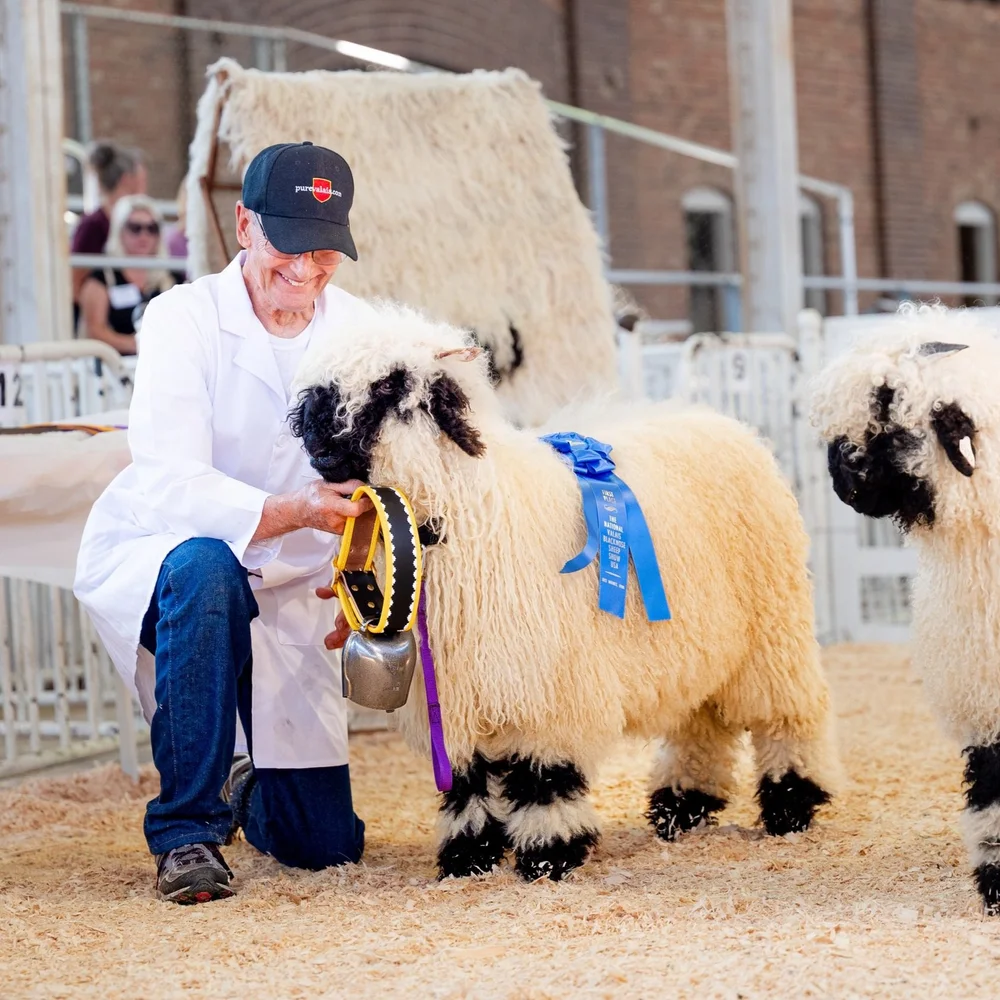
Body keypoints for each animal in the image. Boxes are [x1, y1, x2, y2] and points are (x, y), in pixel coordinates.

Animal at [290, 302, 840, 882]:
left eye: (389, 387)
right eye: (320, 392)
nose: (319, 448)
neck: (471, 514)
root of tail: (723, 421)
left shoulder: (552, 687)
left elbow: (544, 776)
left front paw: (548, 854)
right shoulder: (456, 693)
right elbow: (466, 782)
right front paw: (469, 856)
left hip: (773, 625)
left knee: (791, 712)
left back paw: (791, 804)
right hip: (704, 637)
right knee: (703, 720)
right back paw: (681, 806)